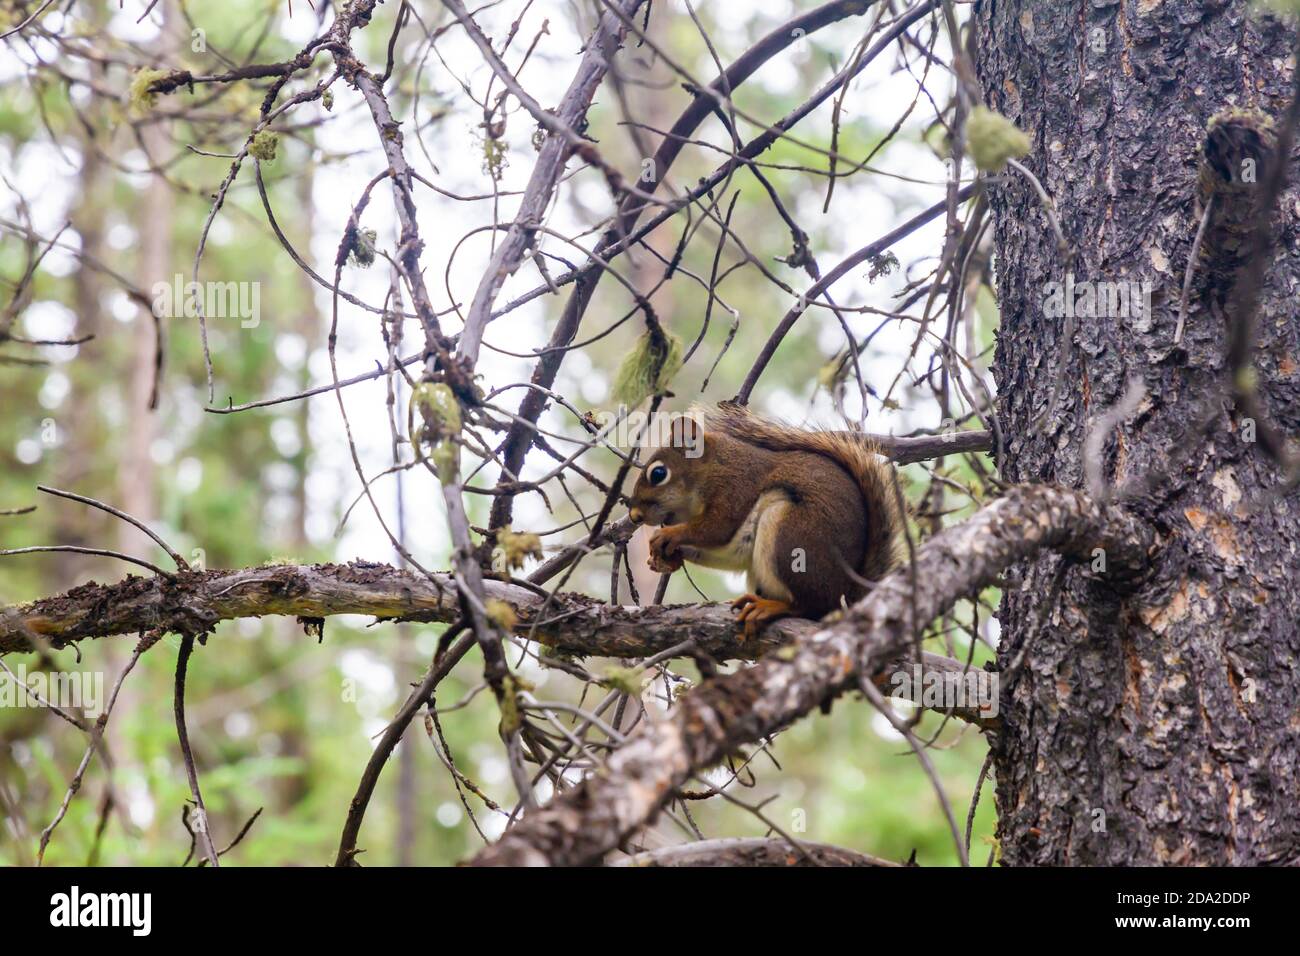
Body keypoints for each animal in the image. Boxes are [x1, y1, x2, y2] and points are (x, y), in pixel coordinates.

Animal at [627, 402, 905, 639]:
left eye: (658, 473)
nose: (634, 515)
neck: (715, 466)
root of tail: (846, 591)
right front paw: (665, 558)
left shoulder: (736, 487)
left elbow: (717, 528)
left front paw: (668, 536)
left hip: (791, 535)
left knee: (814, 607)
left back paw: (771, 607)